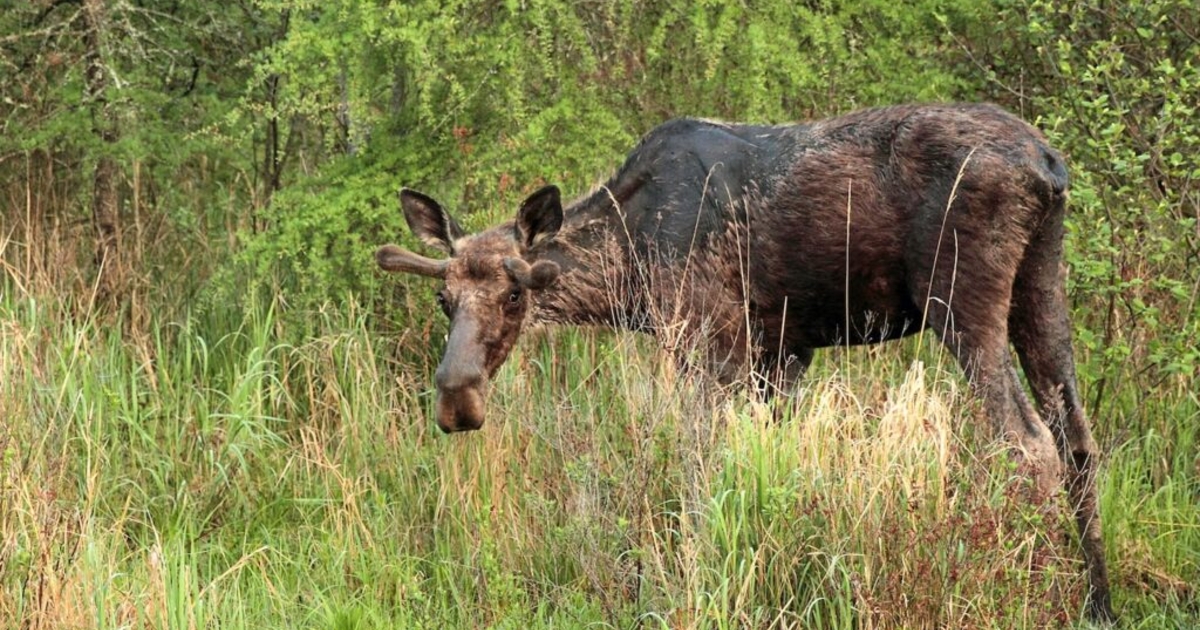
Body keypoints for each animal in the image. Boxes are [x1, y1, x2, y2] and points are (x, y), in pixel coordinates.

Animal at [375, 103, 1114, 622]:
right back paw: (1097, 603)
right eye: (443, 298)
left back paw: (1033, 593)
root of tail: (1048, 165)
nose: (456, 397)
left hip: (960, 298)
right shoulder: (782, 354)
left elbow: (698, 473)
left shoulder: (709, 343)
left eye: (514, 293)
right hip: (1040, 286)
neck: (626, 270)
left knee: (1028, 445)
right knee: (1078, 440)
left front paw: (688, 586)